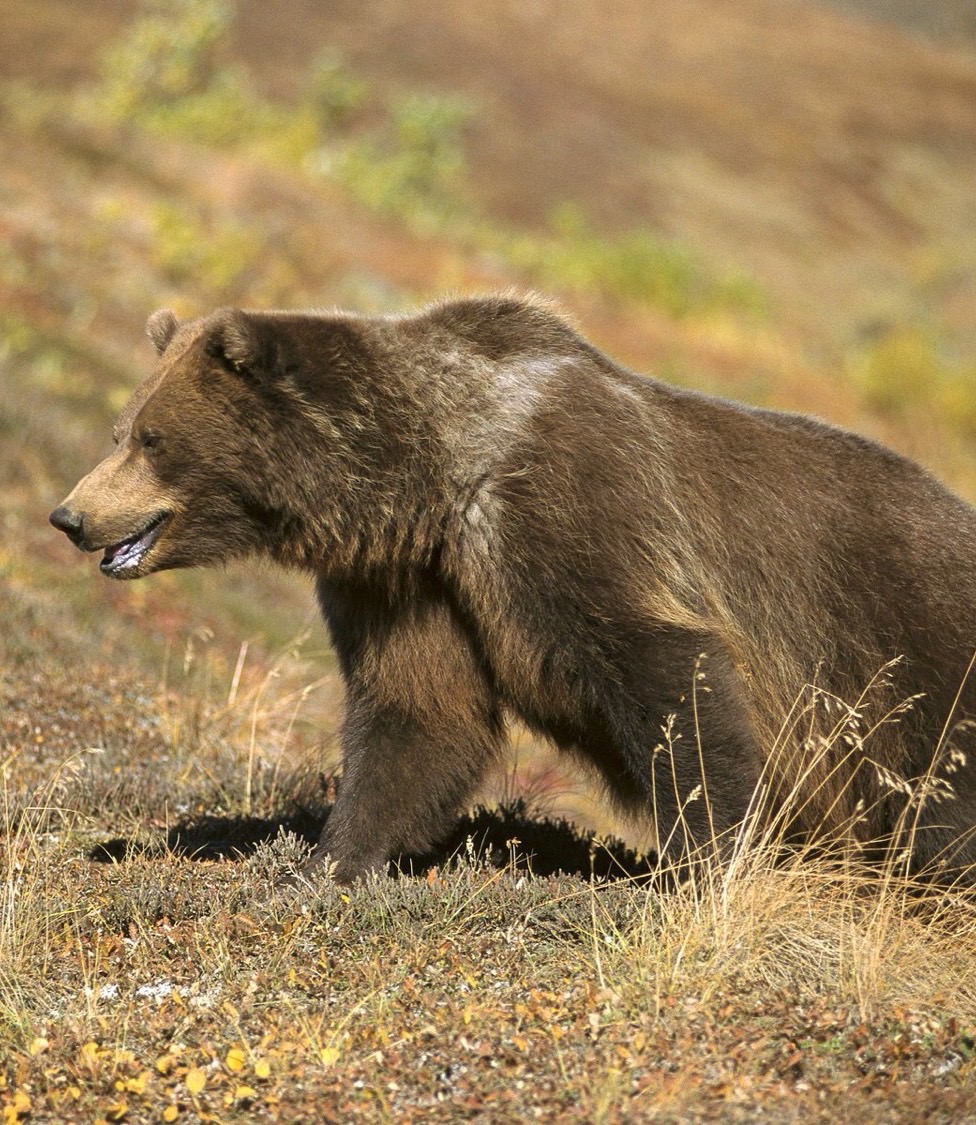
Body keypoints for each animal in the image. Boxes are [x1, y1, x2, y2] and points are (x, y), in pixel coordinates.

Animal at [50, 294, 976, 885]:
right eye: (121, 428)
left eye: (151, 437)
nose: (70, 515)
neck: (432, 474)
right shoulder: (411, 581)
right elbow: (419, 714)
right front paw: (325, 865)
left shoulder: (565, 511)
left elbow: (669, 675)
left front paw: (715, 862)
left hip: (912, 659)